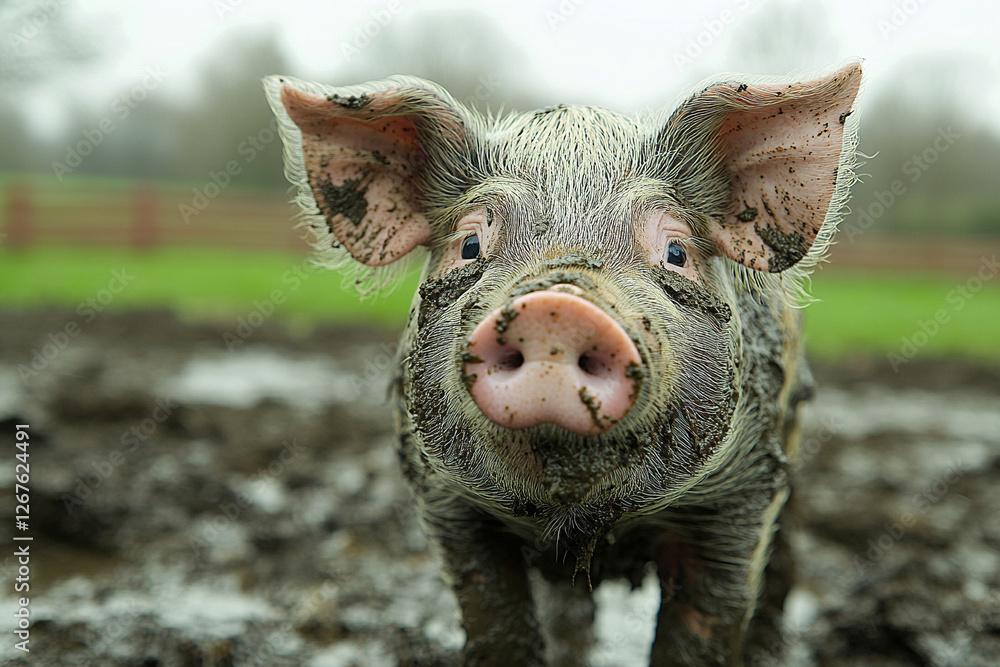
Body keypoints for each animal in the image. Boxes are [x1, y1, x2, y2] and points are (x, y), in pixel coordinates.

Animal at [265, 61, 862, 666]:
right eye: (470, 246)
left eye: (675, 253)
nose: (556, 309)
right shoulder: (445, 500)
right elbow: (495, 621)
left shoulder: (740, 496)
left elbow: (701, 629)